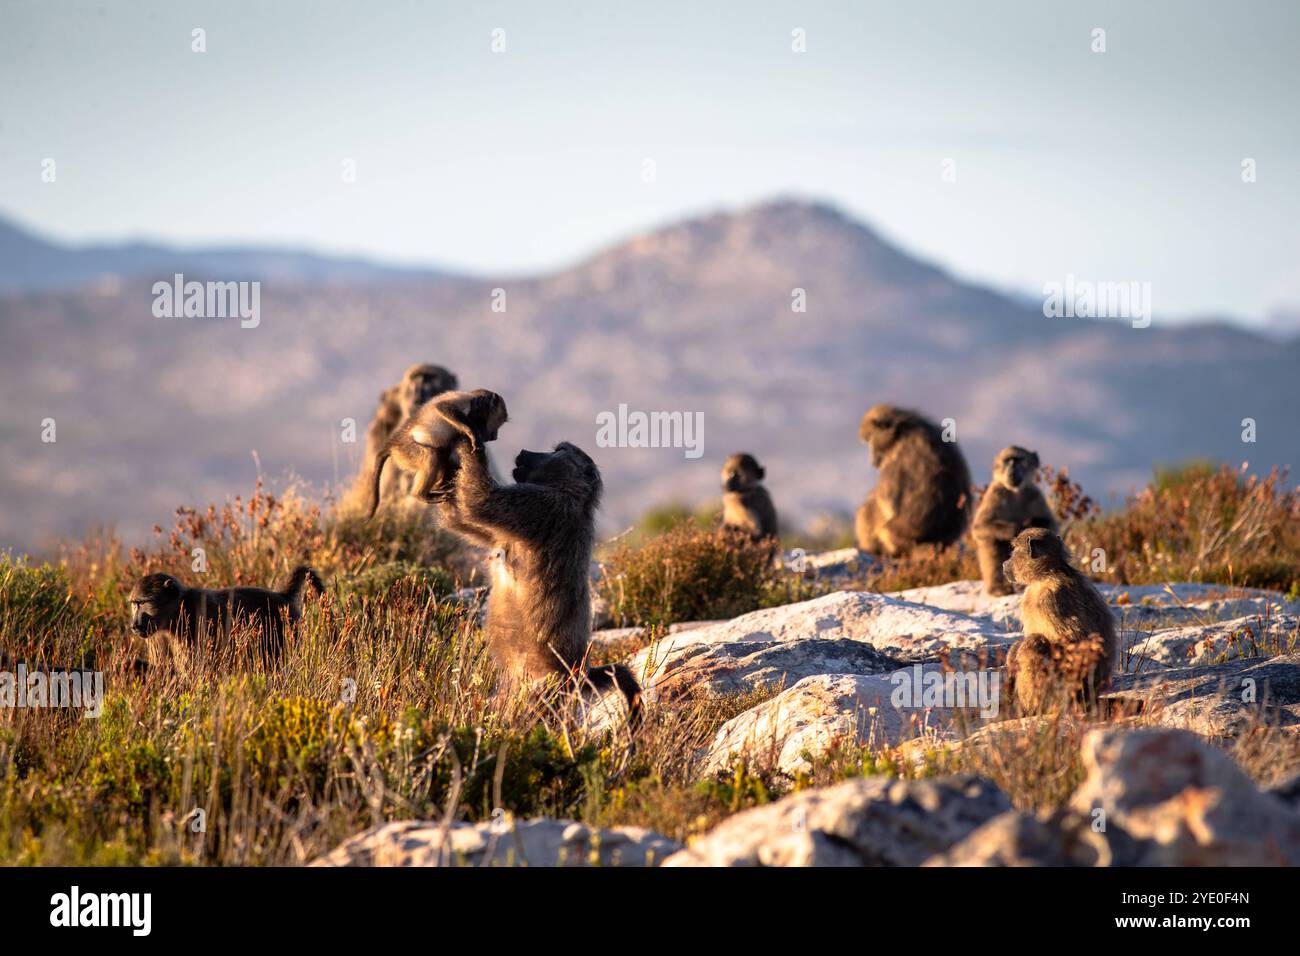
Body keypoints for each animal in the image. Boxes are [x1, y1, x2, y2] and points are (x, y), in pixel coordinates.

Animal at [367, 389, 508, 516]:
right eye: (499, 422)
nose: (495, 437)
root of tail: (393, 443)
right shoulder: (465, 400)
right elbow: (443, 407)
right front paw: (472, 433)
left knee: (441, 454)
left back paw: (436, 489)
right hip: (406, 451)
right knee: (432, 456)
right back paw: (421, 495)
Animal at [435, 436, 642, 729]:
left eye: (559, 451)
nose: (525, 452)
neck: (573, 496)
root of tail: (582, 674)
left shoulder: (542, 505)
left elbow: (480, 502)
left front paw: (468, 440)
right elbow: (460, 519)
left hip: (545, 688)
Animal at [853, 404, 972, 557]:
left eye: (870, 440)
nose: (872, 461)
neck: (901, 433)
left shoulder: (893, 465)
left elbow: (887, 504)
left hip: (895, 537)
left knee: (870, 507)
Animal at [971, 446, 1058, 595]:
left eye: (1018, 460)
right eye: (1007, 461)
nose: (1011, 471)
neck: (1016, 492)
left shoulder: (1035, 495)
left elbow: (1051, 525)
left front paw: (1031, 524)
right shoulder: (995, 493)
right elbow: (980, 527)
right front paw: (1015, 529)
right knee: (992, 542)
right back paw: (998, 588)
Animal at [1002, 528, 1117, 715]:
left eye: (1014, 550)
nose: (1004, 564)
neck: (1047, 574)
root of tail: (1090, 698)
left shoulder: (1051, 598)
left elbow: (1076, 642)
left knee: (1032, 644)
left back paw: (1029, 709)